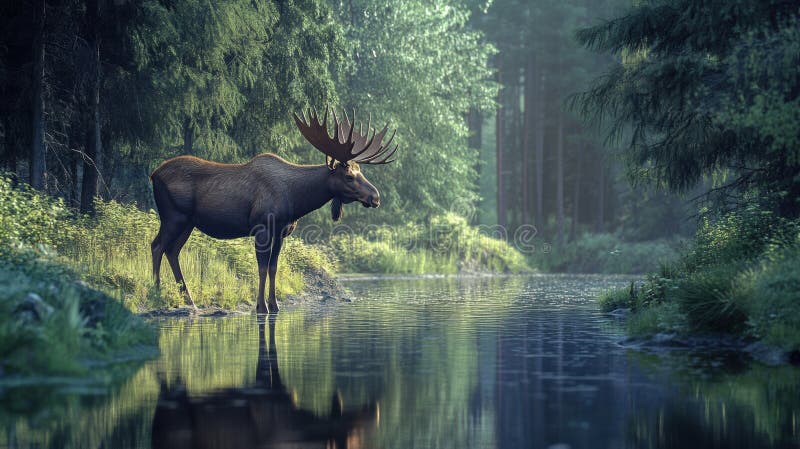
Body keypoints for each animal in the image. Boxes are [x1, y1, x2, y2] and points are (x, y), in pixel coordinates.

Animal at [150, 107, 398, 313]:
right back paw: (156, 293)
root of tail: (153, 175)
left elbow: (273, 267)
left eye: (360, 172)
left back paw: (189, 300)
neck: (296, 200)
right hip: (173, 216)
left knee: (172, 251)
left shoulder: (281, 232)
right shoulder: (262, 227)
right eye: (348, 176)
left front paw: (275, 304)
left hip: (188, 222)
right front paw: (261, 307)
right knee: (157, 246)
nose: (375, 197)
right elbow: (260, 268)